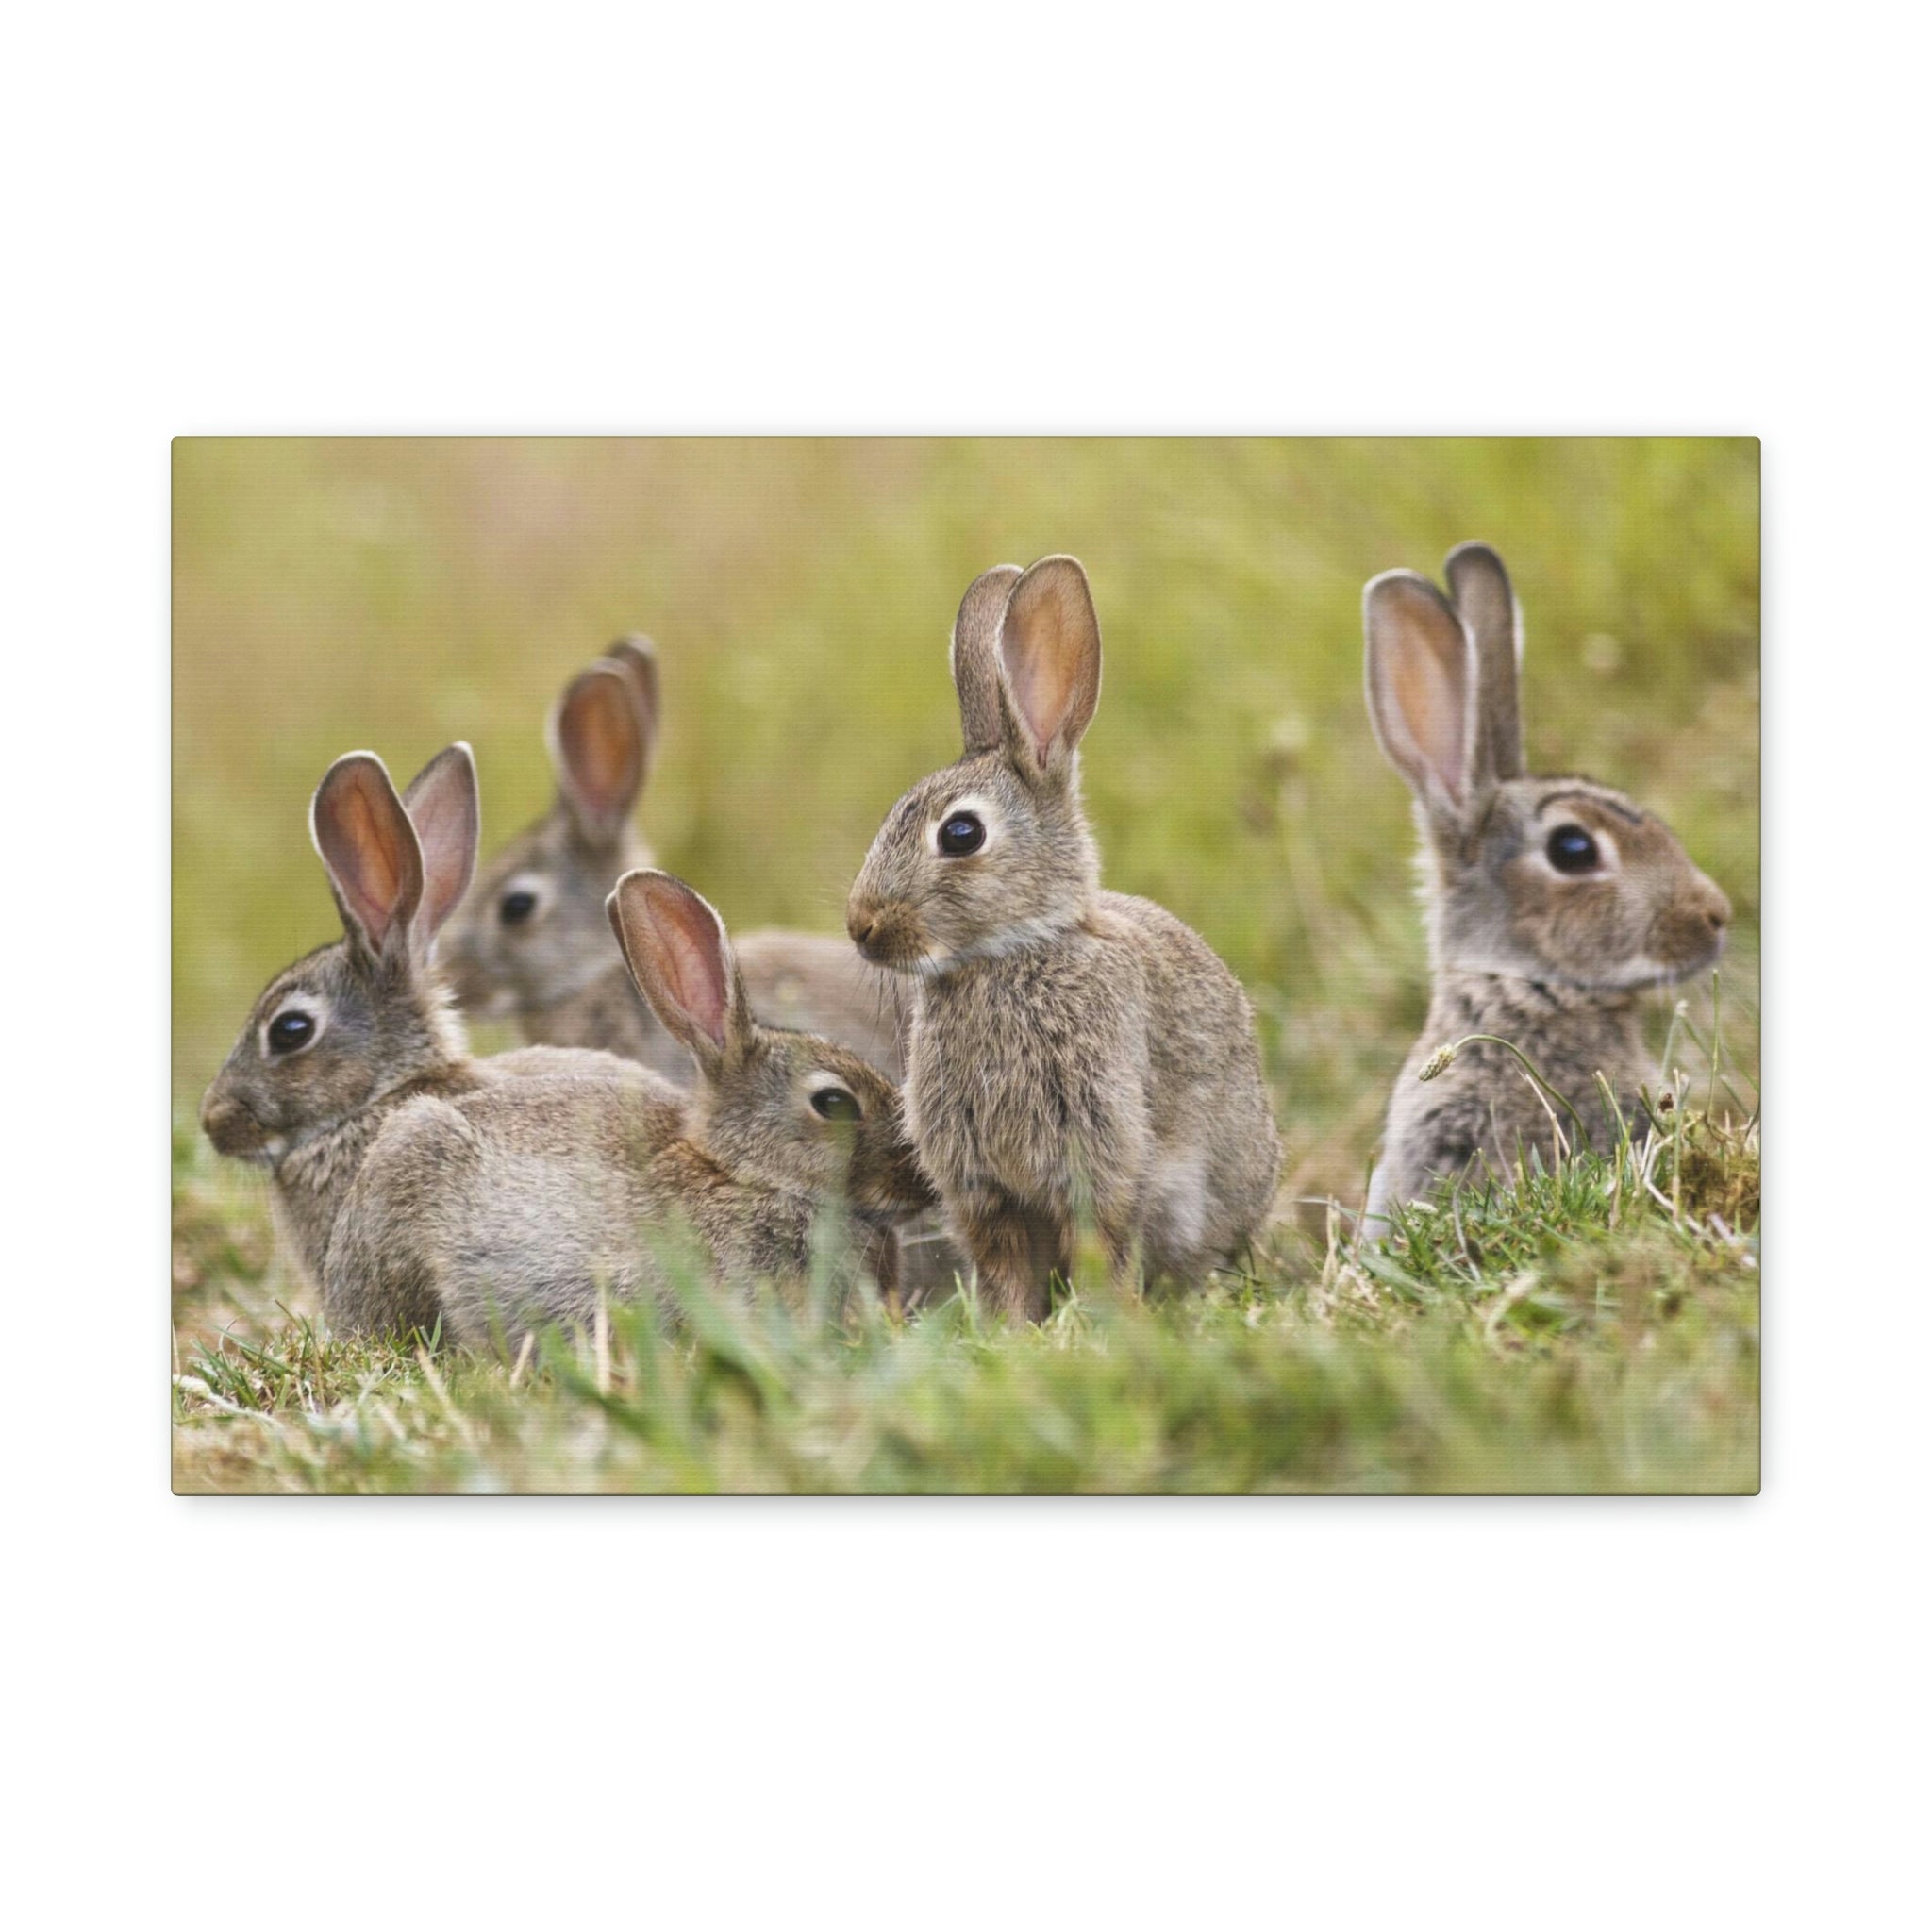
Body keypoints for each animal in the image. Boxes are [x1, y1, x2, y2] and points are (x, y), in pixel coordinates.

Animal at [844, 556, 1283, 1323]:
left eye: (961, 833)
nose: (860, 925)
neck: (1010, 954)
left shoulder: (1098, 1154)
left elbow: (1100, 1245)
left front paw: (1103, 1322)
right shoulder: (985, 1191)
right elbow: (1005, 1267)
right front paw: (1011, 1330)